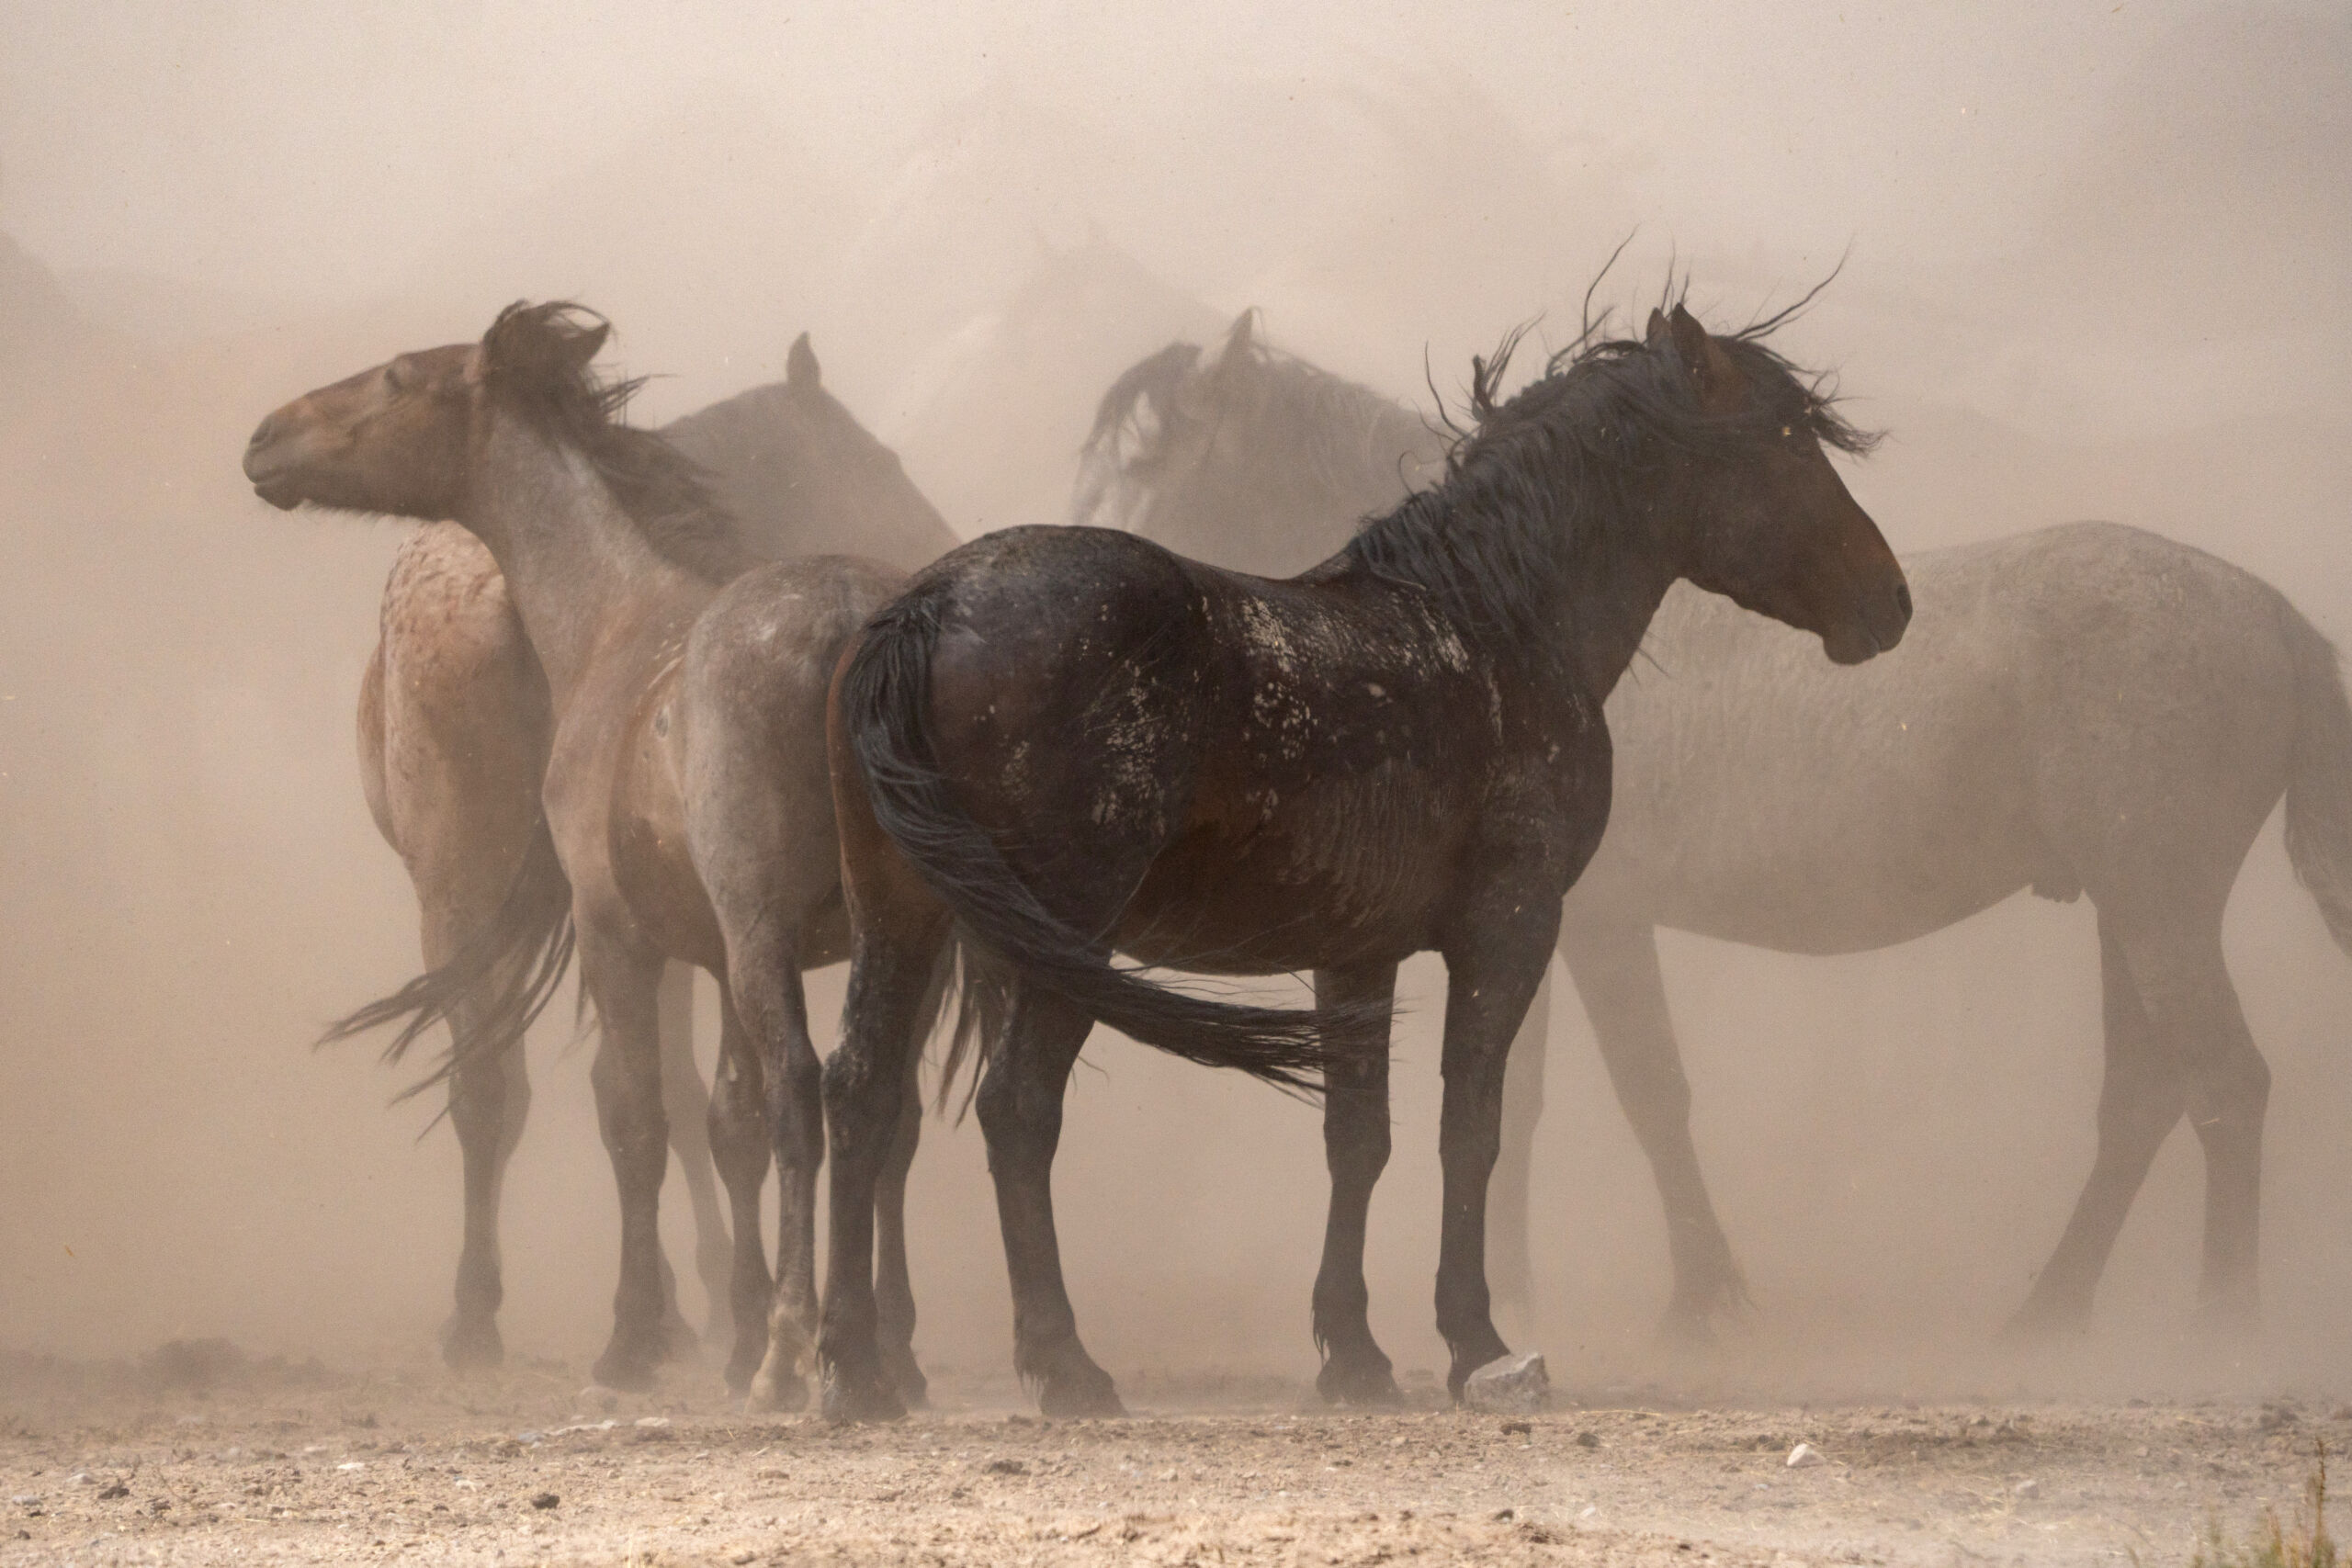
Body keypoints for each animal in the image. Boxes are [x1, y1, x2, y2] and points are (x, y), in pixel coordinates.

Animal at [246, 302, 972, 1408]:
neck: (612, 617)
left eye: (399, 377)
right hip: (892, 939)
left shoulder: (620, 932)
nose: (264, 439)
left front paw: (636, 1336)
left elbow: (639, 1119)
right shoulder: (704, 949)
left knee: (789, 1092)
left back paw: (782, 1353)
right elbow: (721, 1119)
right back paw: (853, 1356)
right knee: (866, 1098)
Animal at [817, 299, 1910, 1420]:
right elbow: (1471, 1127)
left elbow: (1360, 1139)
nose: (1890, 600)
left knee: (860, 1093)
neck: (1490, 621)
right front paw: (1474, 1341)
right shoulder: (1512, 928)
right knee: (1015, 1110)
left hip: (900, 919)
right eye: (1785, 444)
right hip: (1062, 935)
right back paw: (1065, 1363)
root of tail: (931, 606)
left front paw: (1353, 1353)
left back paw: (855, 1369)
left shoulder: (1356, 953)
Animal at [1076, 310, 2352, 1344]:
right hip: (2128, 909)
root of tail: (2273, 613)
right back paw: (2050, 1313)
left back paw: (2221, 1326)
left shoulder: (1588, 923)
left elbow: (1637, 1094)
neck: (1490, 620)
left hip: (2158, 904)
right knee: (2145, 1100)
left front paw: (1693, 1296)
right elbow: (1524, 1099)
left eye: (1148, 462)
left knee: (2224, 1086)